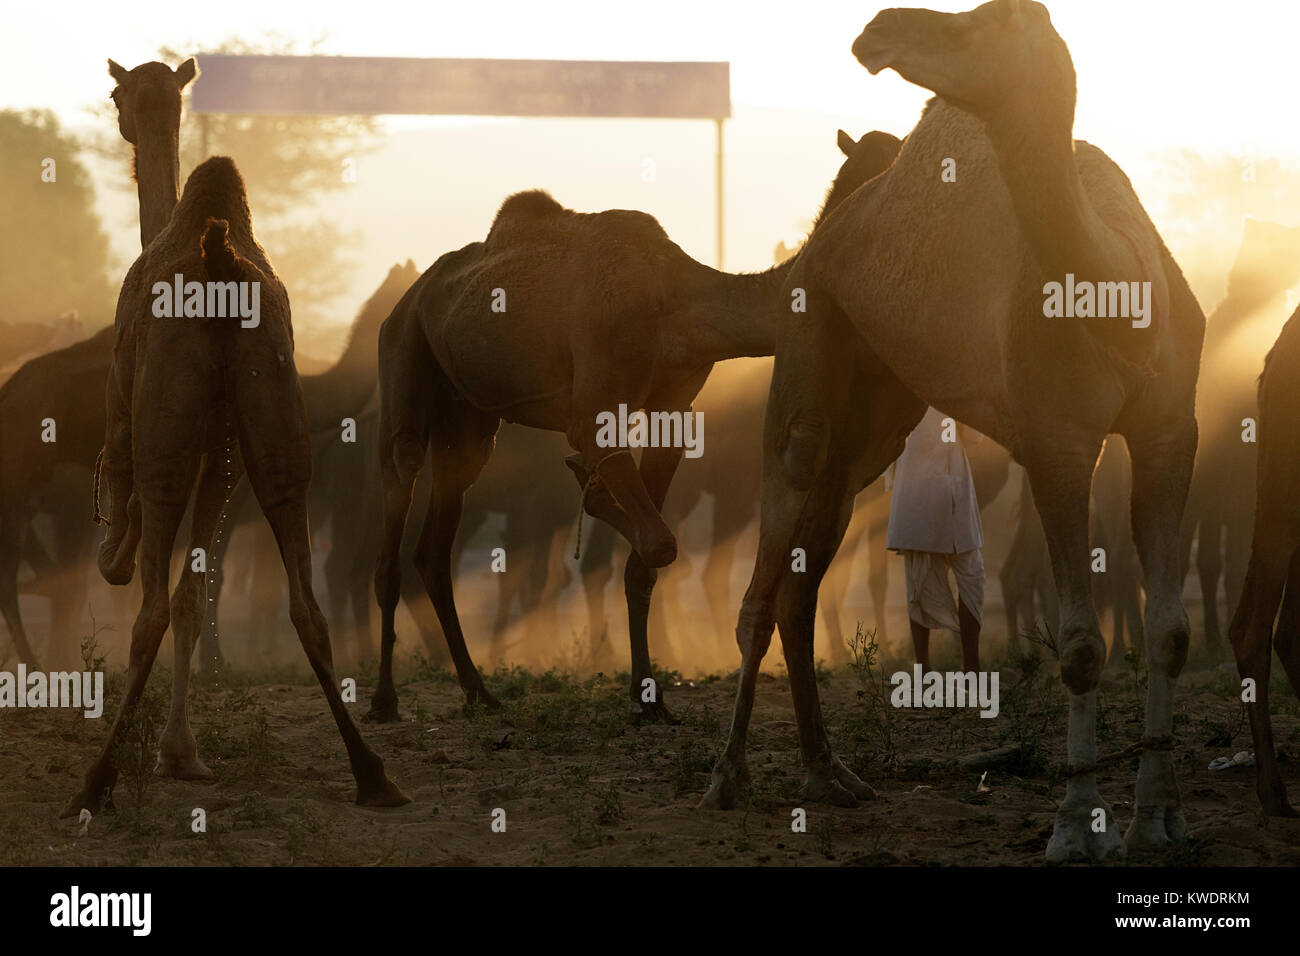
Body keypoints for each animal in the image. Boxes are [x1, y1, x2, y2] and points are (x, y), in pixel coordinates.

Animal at [65, 155, 407, 815]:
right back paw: (373, 773)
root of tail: (217, 262)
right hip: (276, 415)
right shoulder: (225, 454)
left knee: (149, 608)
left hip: (166, 437)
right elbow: (194, 595)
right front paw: (181, 753)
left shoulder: (126, 402)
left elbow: (133, 547)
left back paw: (94, 784)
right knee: (305, 599)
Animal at [369, 129, 903, 723]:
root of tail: (411, 294)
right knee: (397, 493)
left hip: (468, 415)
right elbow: (657, 539)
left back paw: (478, 691)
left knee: (435, 545)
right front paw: (593, 486)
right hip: (403, 346)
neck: (678, 299)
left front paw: (649, 697)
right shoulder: (593, 408)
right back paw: (384, 700)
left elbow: (650, 556)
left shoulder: (674, 407)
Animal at [701, 0, 1204, 864]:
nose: (876, 30)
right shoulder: (1057, 443)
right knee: (770, 562)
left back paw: (829, 774)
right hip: (809, 339)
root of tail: (819, 244)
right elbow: (1080, 647)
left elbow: (1170, 633)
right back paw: (727, 778)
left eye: (984, 23)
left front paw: (1159, 820)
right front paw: (1077, 825)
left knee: (807, 568)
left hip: (875, 412)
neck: (1122, 297)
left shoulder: (1174, 430)